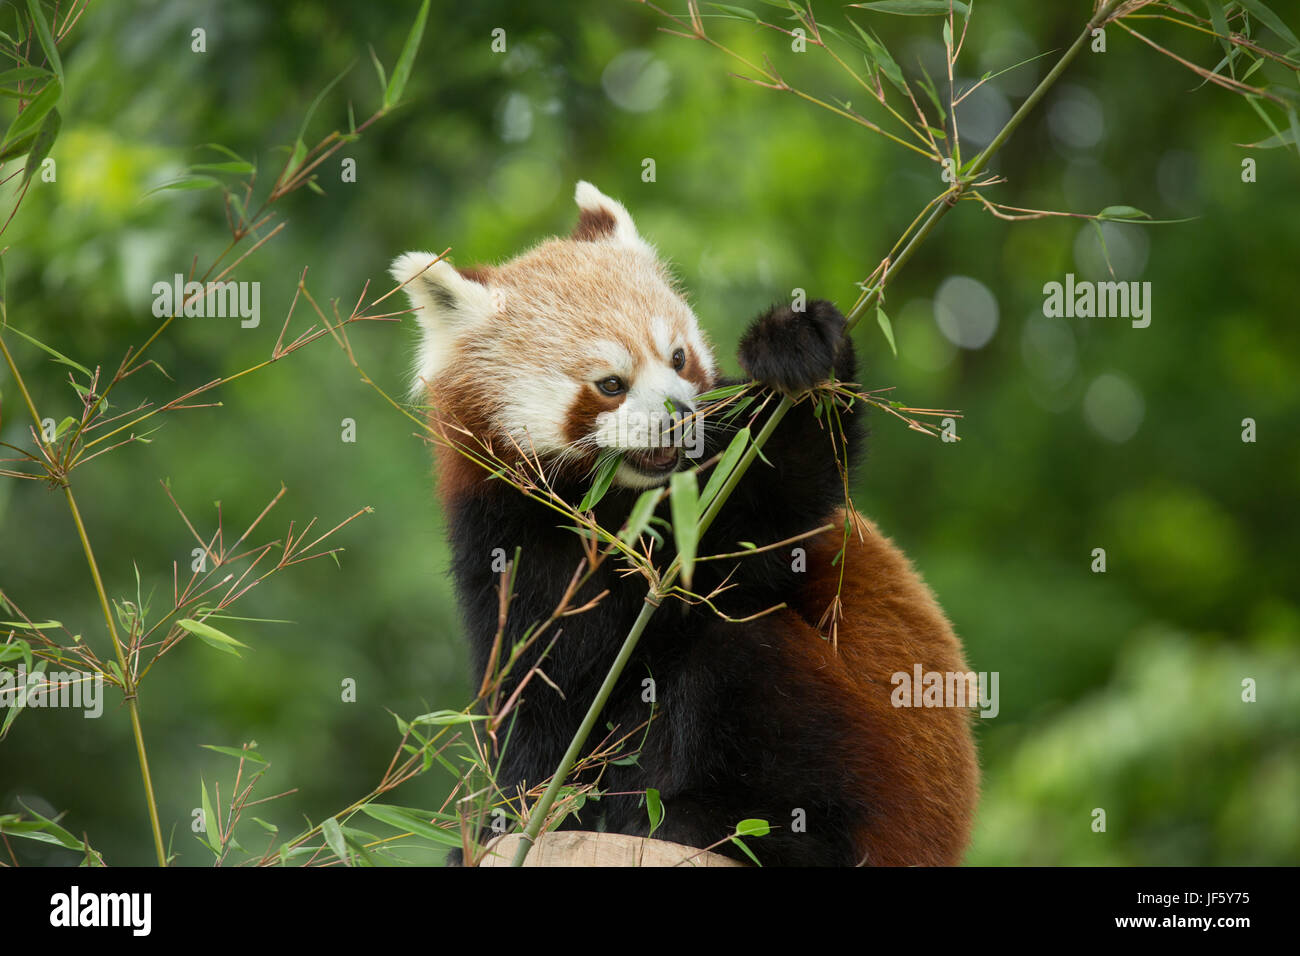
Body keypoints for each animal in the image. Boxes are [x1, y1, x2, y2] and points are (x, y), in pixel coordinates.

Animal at [391, 182, 978, 866]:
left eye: (677, 356)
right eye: (610, 384)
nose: (678, 415)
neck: (613, 507)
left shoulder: (721, 497)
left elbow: (784, 484)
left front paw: (798, 344)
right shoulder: (506, 544)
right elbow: (538, 693)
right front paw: (513, 818)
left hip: (879, 754)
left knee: (731, 650)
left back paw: (725, 824)